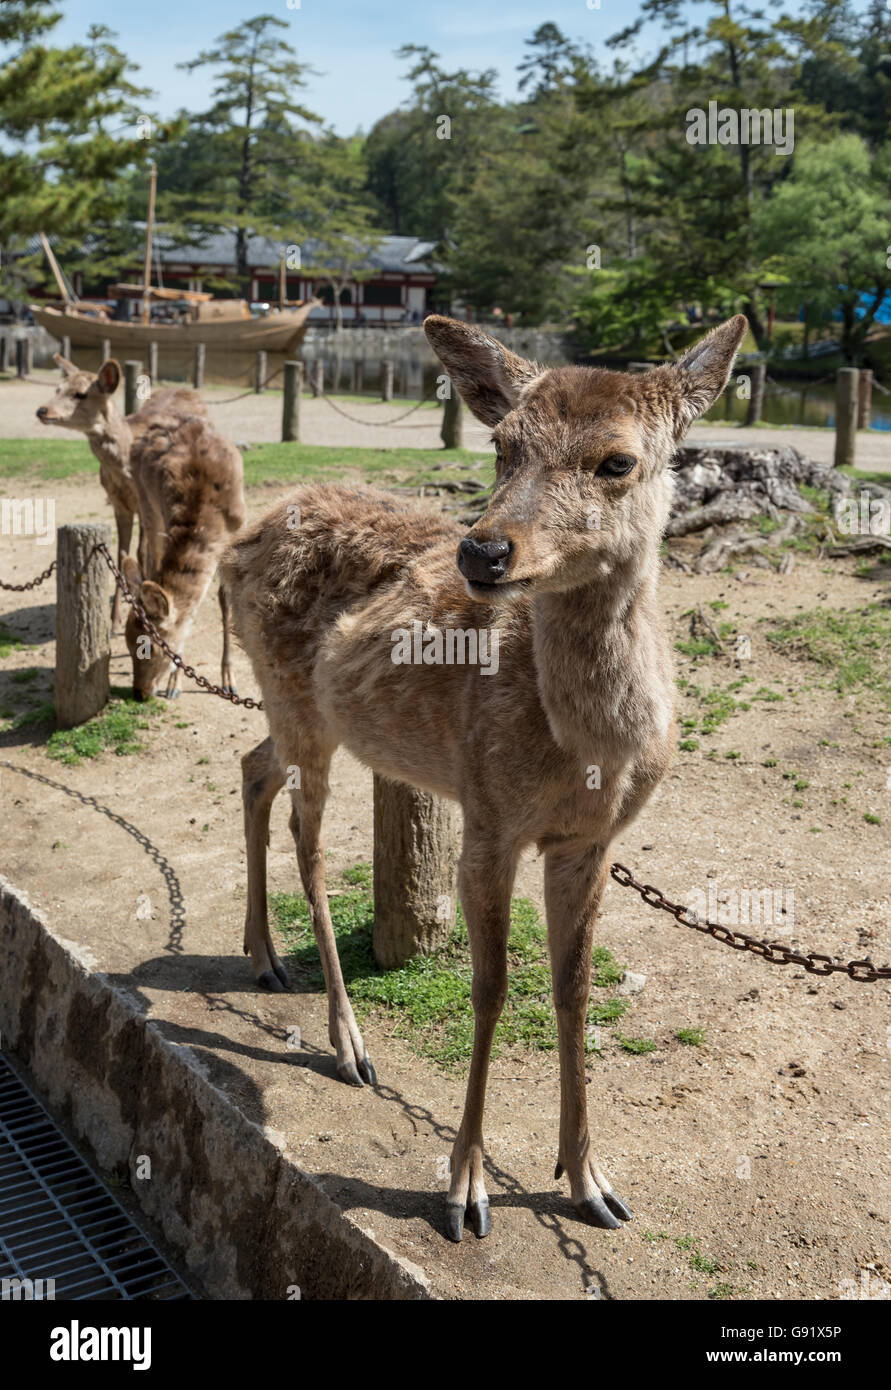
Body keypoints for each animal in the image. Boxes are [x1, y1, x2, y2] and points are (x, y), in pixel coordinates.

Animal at [37, 356, 246, 697]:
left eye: (151, 648)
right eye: (128, 644)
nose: (139, 692)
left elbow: (222, 598)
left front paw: (229, 680)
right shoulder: (134, 508)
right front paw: (175, 683)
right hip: (149, 511)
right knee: (143, 557)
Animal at [220, 313, 748, 1242]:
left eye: (618, 460)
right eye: (501, 444)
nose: (483, 549)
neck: (589, 749)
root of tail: (235, 542)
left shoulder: (591, 841)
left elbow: (573, 988)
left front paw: (590, 1182)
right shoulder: (488, 816)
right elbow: (492, 985)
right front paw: (466, 1190)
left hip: (297, 711)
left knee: (253, 768)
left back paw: (265, 960)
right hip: (297, 703)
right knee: (306, 840)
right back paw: (347, 1044)